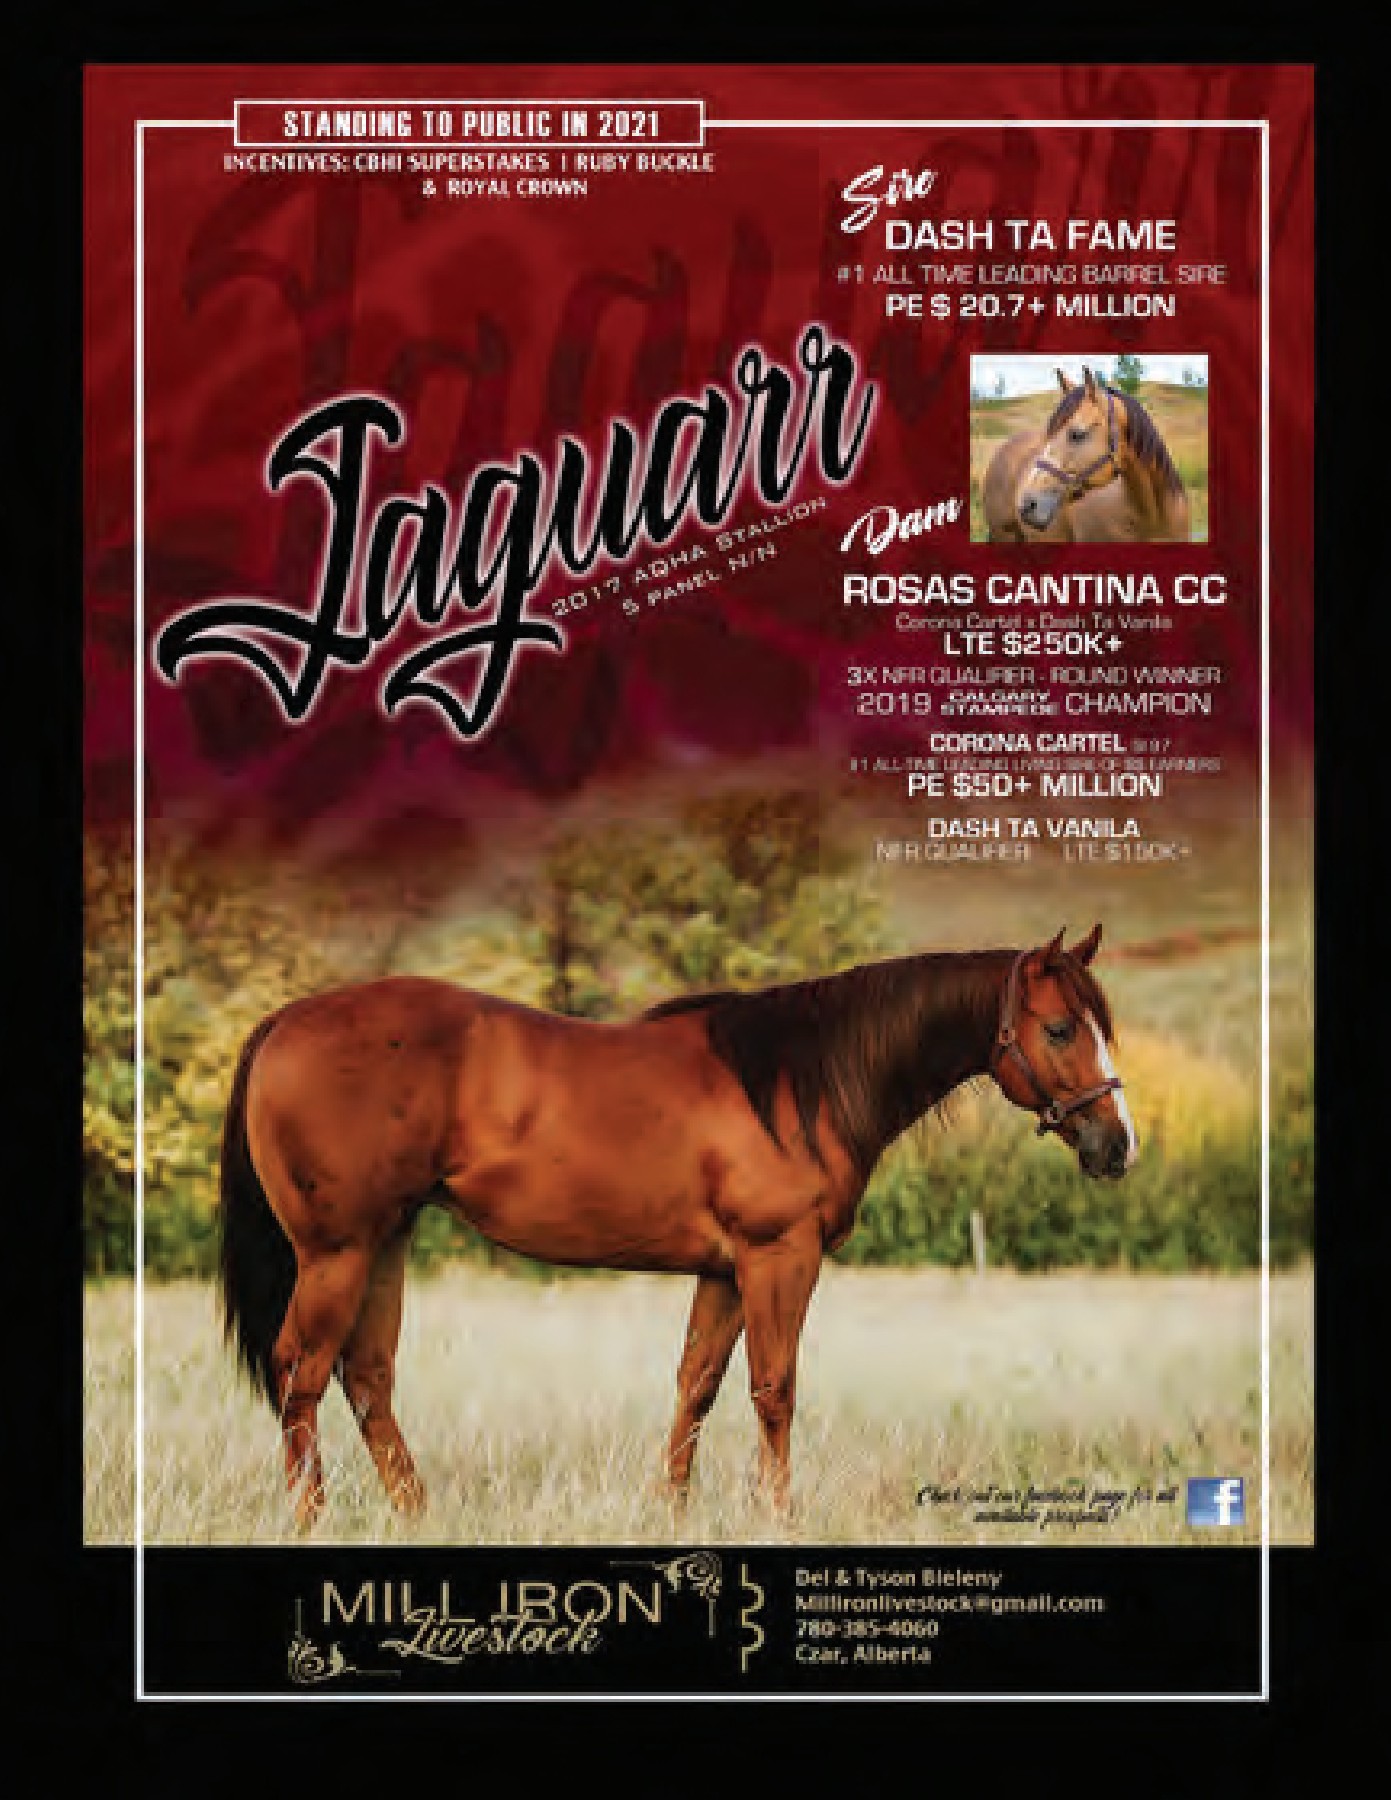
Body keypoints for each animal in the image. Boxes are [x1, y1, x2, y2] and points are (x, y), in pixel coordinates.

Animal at [217, 924, 1137, 1529]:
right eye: (1059, 1027)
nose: (1116, 1144)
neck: (798, 1083)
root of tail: (282, 1023)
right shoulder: (777, 1259)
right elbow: (774, 1389)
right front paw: (777, 1516)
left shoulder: (723, 1272)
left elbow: (697, 1383)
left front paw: (674, 1510)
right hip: (337, 1252)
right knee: (301, 1372)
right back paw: (311, 1519)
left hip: (385, 1242)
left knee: (367, 1376)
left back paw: (419, 1515)